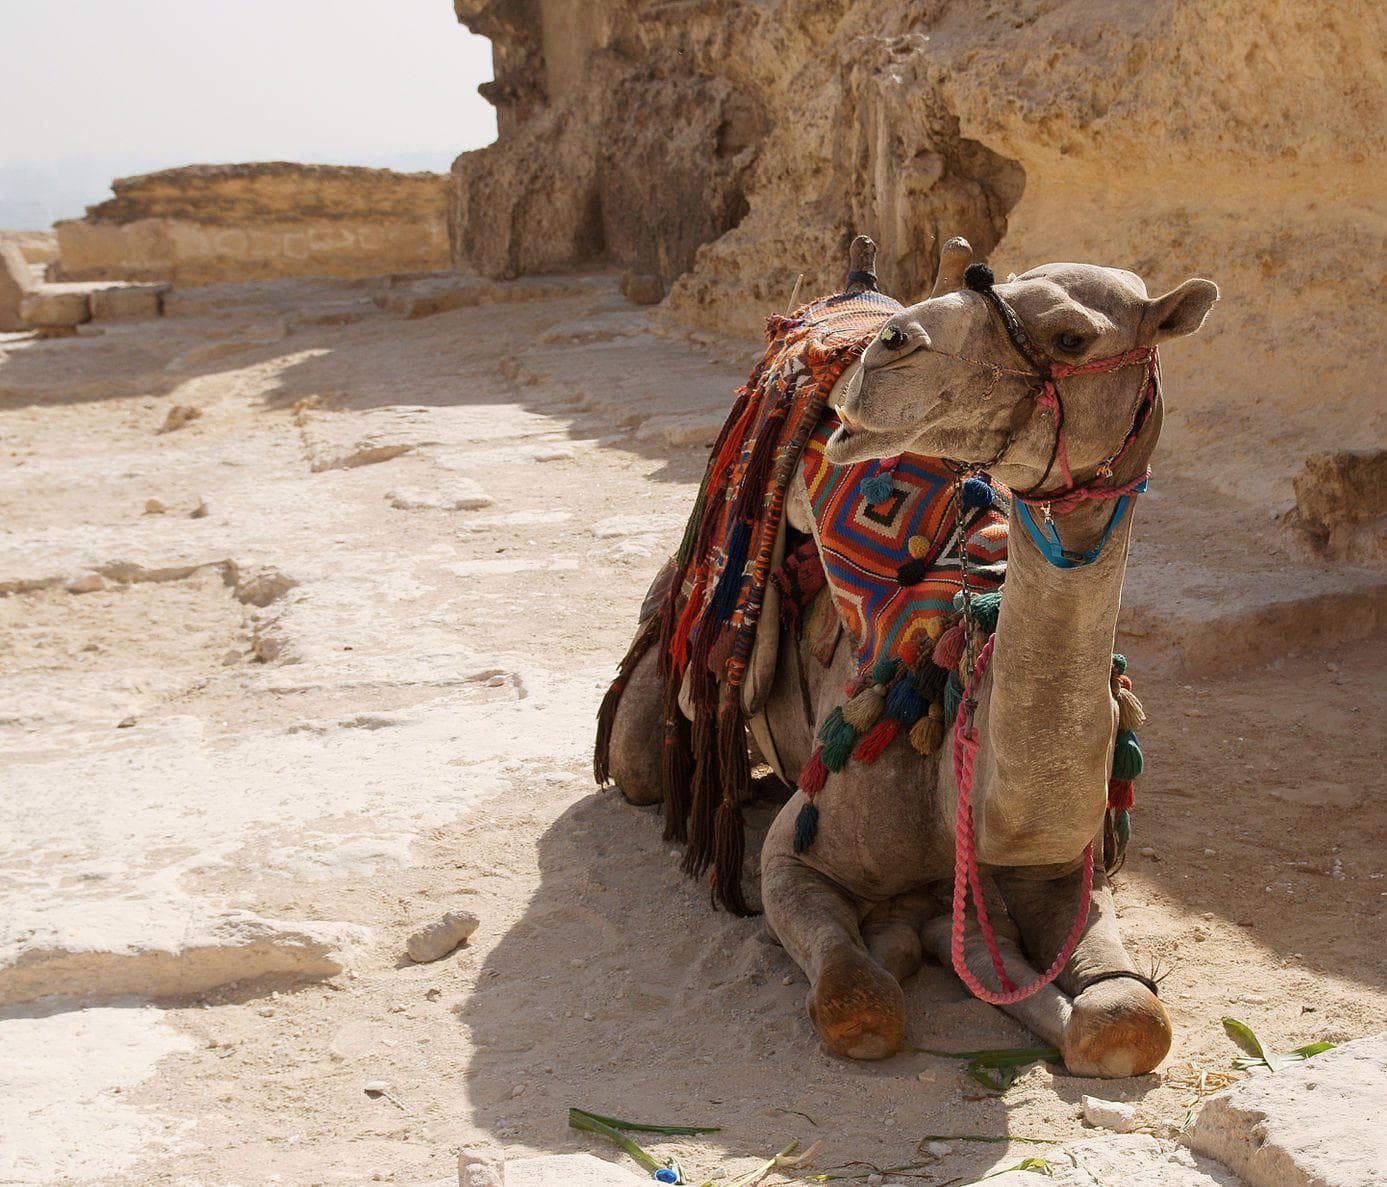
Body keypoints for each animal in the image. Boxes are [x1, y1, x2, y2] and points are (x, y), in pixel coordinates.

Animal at [600, 236, 1219, 1077]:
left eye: (1071, 336)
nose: (889, 347)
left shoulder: (1065, 873)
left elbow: (1125, 1016)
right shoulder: (793, 859)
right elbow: (861, 1002)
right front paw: (892, 946)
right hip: (669, 659)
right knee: (638, 758)